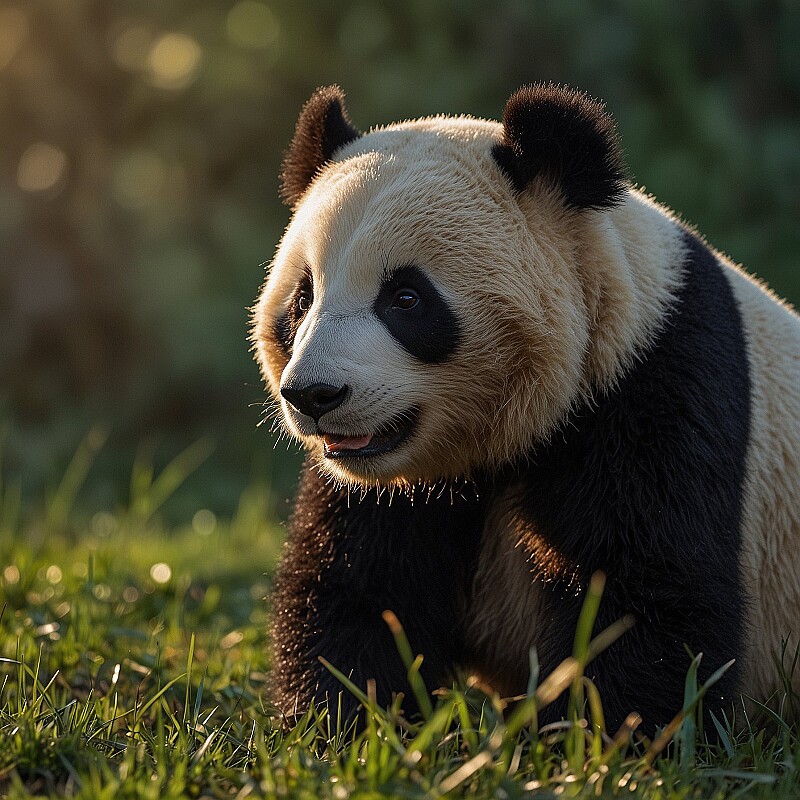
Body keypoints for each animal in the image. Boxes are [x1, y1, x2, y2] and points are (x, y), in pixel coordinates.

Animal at [251, 84, 800, 733]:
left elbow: (646, 592)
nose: (314, 395)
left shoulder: (657, 383)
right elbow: (359, 585)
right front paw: (347, 725)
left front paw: (596, 735)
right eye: (302, 298)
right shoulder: (388, 490)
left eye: (406, 298)